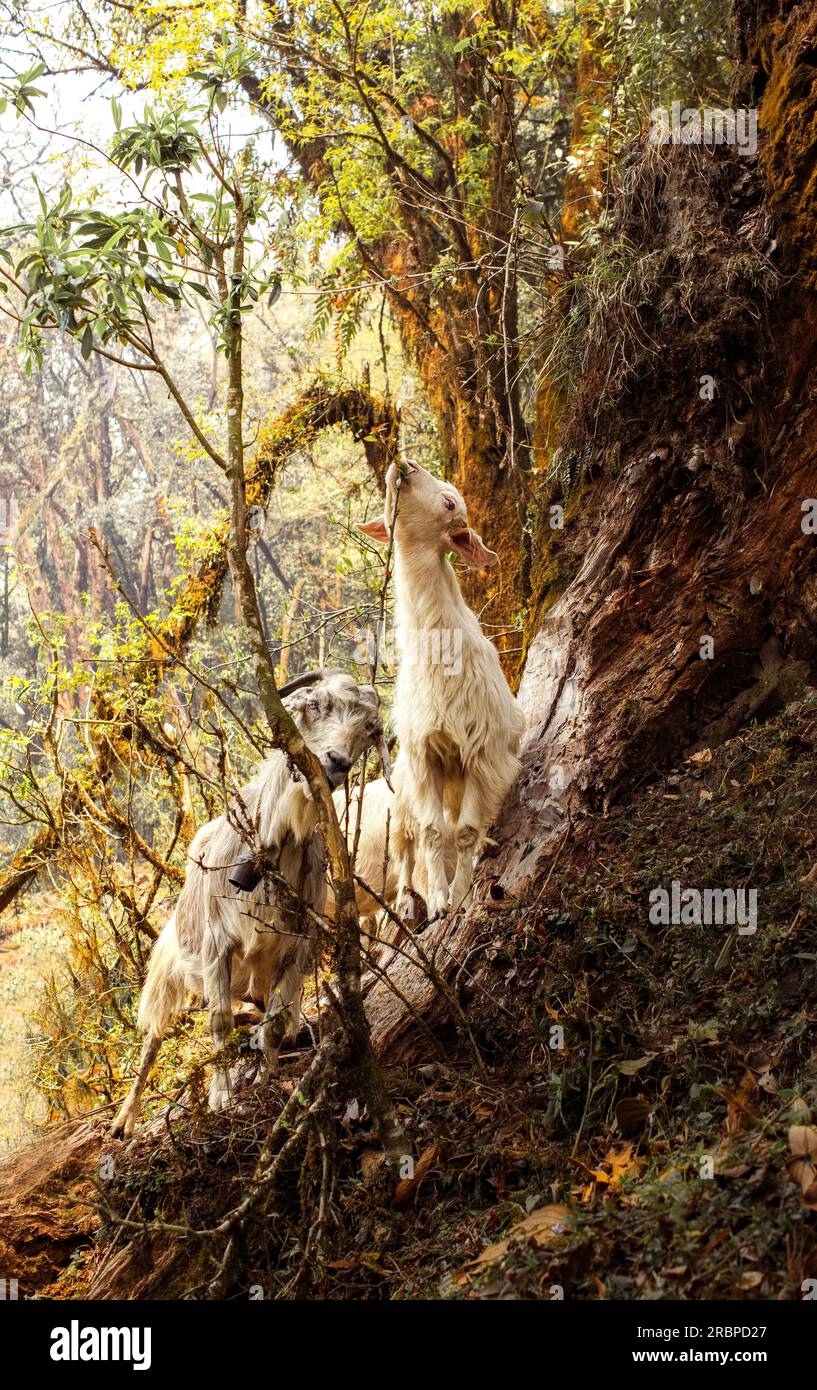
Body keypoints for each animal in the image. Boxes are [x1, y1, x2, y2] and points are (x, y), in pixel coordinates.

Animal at [111, 669, 391, 1138]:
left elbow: (275, 1026)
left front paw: (271, 1080)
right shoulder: (216, 946)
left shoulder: (298, 951)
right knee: (155, 1036)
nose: (336, 762)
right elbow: (218, 1021)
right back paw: (123, 1119)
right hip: (171, 965)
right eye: (315, 704)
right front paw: (222, 1098)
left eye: (369, 731)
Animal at [359, 460, 525, 921]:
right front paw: (437, 901)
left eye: (451, 503)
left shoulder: (484, 755)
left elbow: (464, 831)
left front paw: (462, 893)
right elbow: (433, 832)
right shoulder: (423, 756)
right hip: (400, 801)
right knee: (406, 849)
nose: (407, 465)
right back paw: (408, 901)